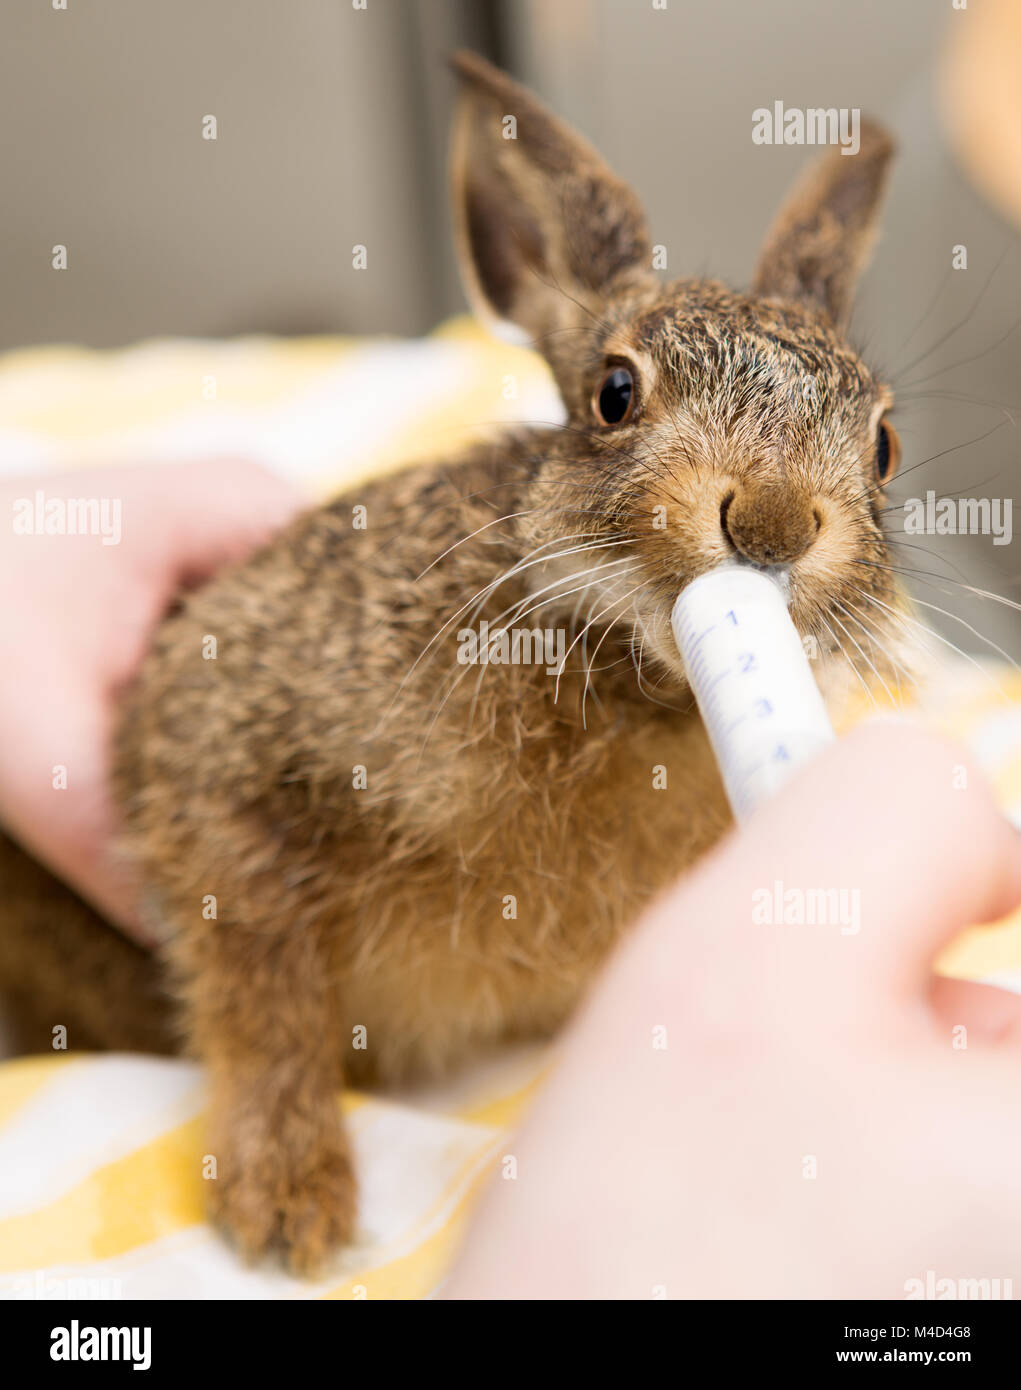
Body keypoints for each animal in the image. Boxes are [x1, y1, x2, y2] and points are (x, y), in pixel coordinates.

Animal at [0, 52, 910, 1273]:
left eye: (885, 445)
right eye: (614, 393)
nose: (771, 522)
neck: (627, 676)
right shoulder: (213, 748)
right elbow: (258, 984)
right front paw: (289, 1202)